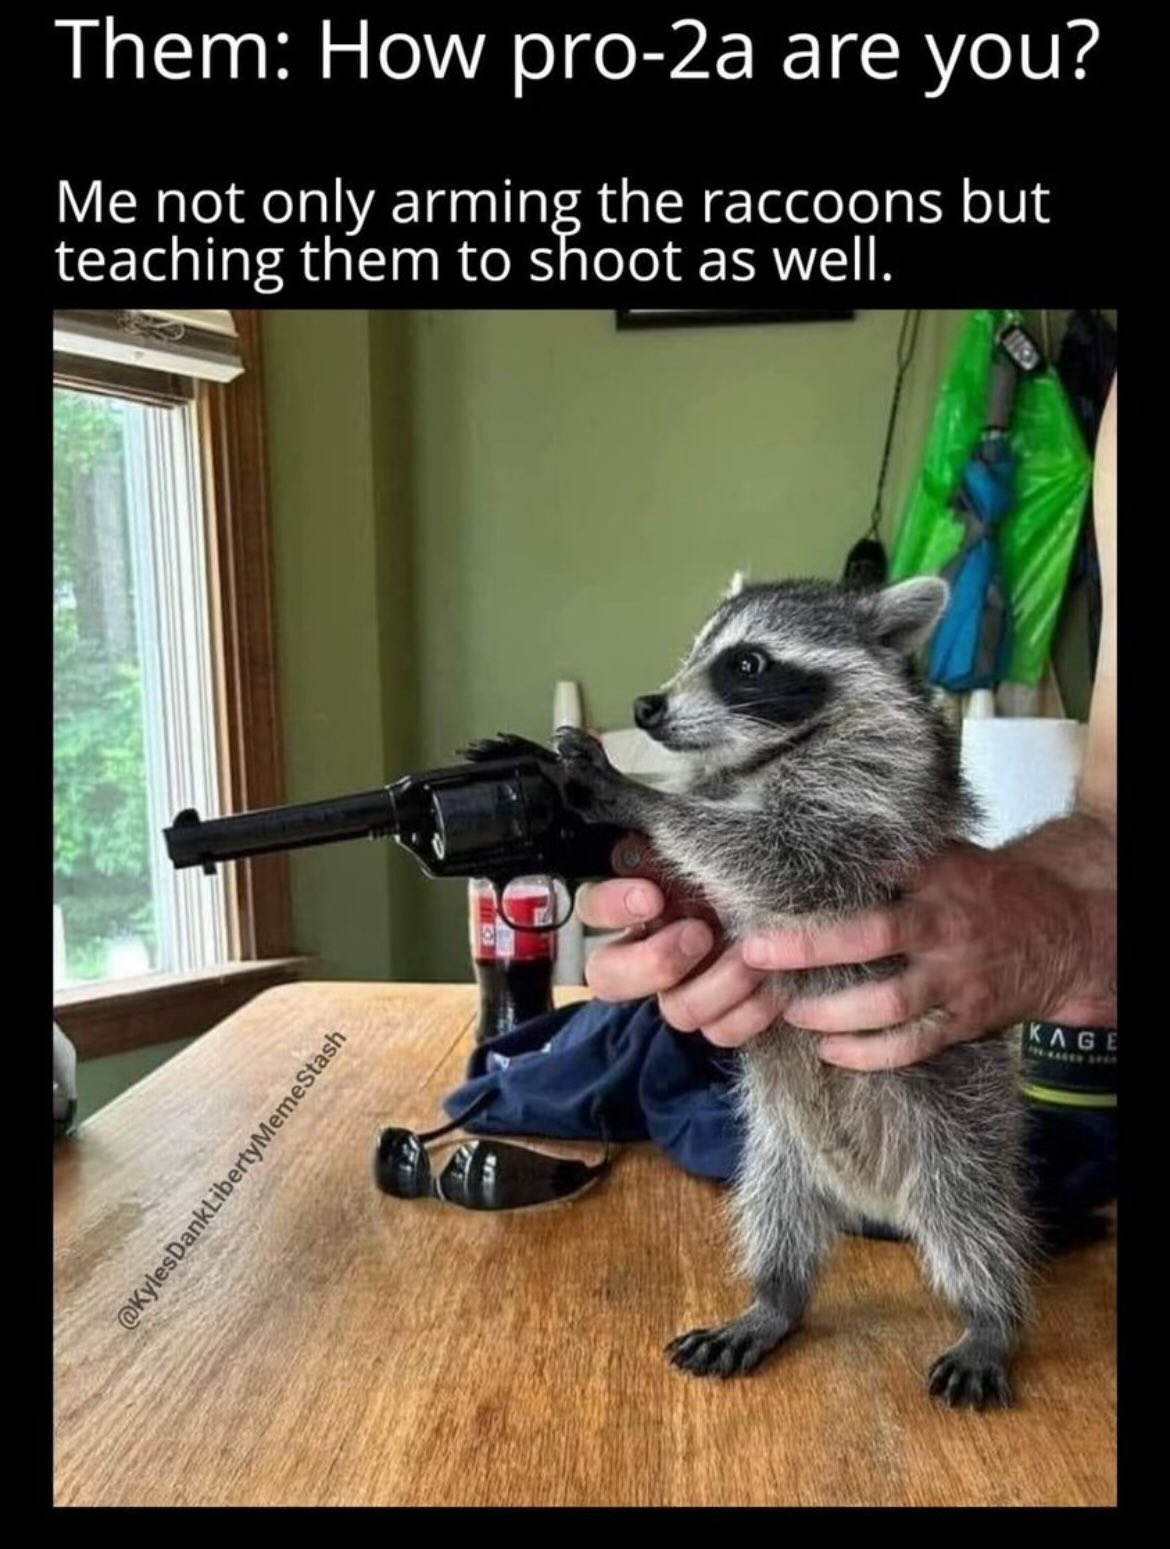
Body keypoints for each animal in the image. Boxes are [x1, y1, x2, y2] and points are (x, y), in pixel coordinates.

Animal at [555, 574, 1034, 1409]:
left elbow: (787, 856)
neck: (762, 754)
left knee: (971, 1214)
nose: (648, 708)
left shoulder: (872, 795)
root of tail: (873, 1193)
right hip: (779, 1147)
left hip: (959, 1115)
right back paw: (774, 1296)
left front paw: (642, 796)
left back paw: (989, 1314)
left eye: (747, 663)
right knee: (775, 1211)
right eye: (695, 649)